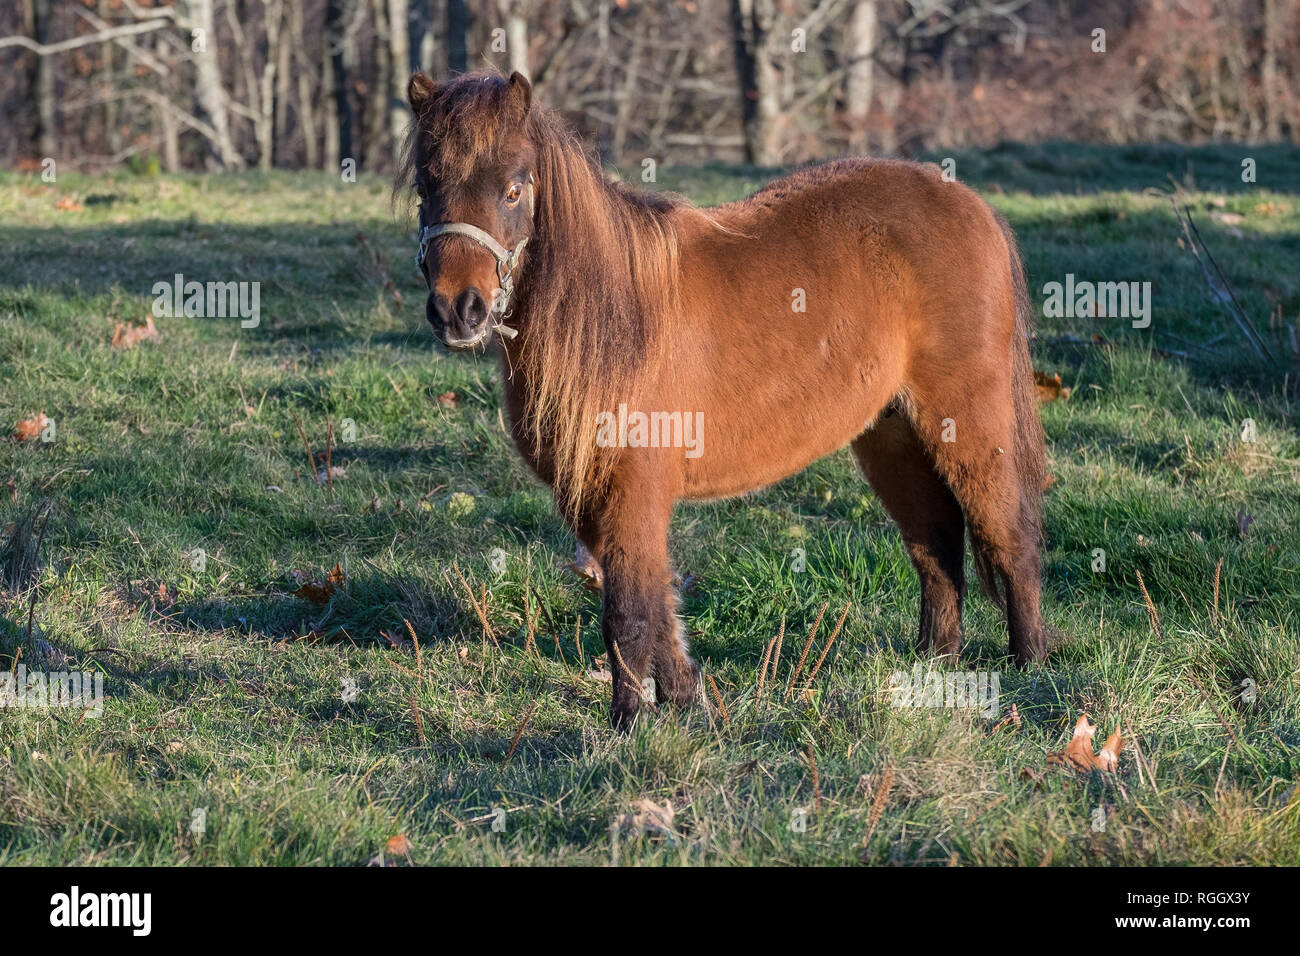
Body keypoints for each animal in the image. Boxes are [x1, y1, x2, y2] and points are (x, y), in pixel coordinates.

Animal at [398, 69, 1049, 728]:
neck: (614, 317)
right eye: (427, 186)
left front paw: (628, 723)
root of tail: (972, 206)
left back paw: (1031, 668)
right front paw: (686, 702)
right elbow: (657, 601)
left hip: (966, 419)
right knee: (935, 541)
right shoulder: (593, 495)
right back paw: (933, 666)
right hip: (891, 433)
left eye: (513, 189)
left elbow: (629, 610)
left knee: (1008, 534)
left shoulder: (632, 489)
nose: (459, 310)